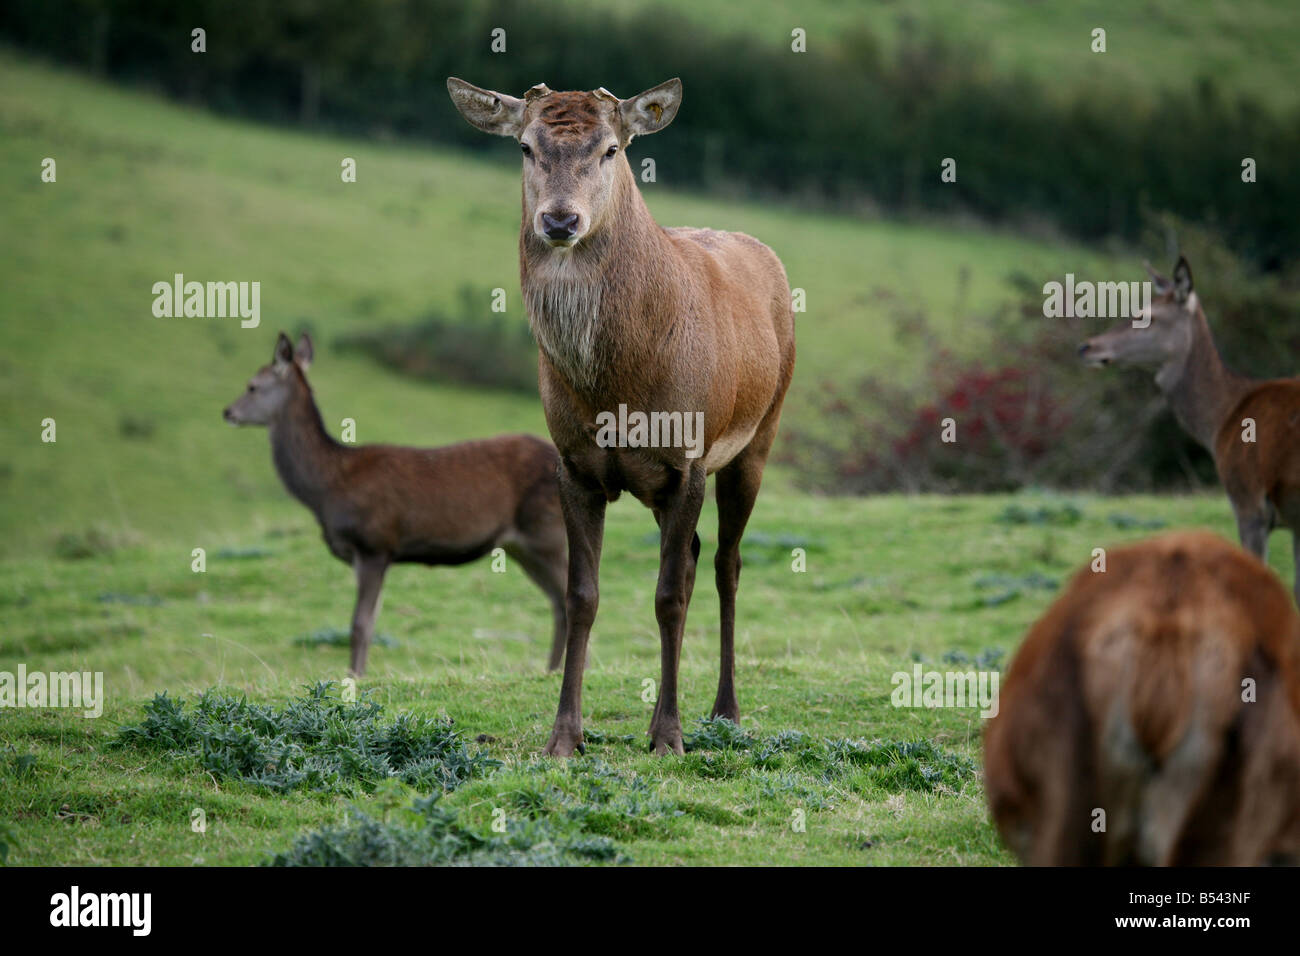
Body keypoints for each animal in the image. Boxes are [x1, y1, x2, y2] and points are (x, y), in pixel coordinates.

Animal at [222, 332, 568, 675]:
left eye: (252, 385)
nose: (228, 412)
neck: (327, 488)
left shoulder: (375, 543)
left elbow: (360, 624)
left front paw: (354, 676)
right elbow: (372, 621)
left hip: (547, 533)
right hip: (523, 547)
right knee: (557, 602)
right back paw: (550, 670)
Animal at [447, 77, 796, 756]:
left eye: (611, 148)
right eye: (525, 146)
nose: (560, 219)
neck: (616, 392)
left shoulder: (687, 459)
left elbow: (668, 596)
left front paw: (669, 737)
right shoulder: (574, 465)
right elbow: (581, 594)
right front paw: (564, 737)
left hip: (759, 435)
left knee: (726, 563)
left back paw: (725, 710)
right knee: (694, 554)